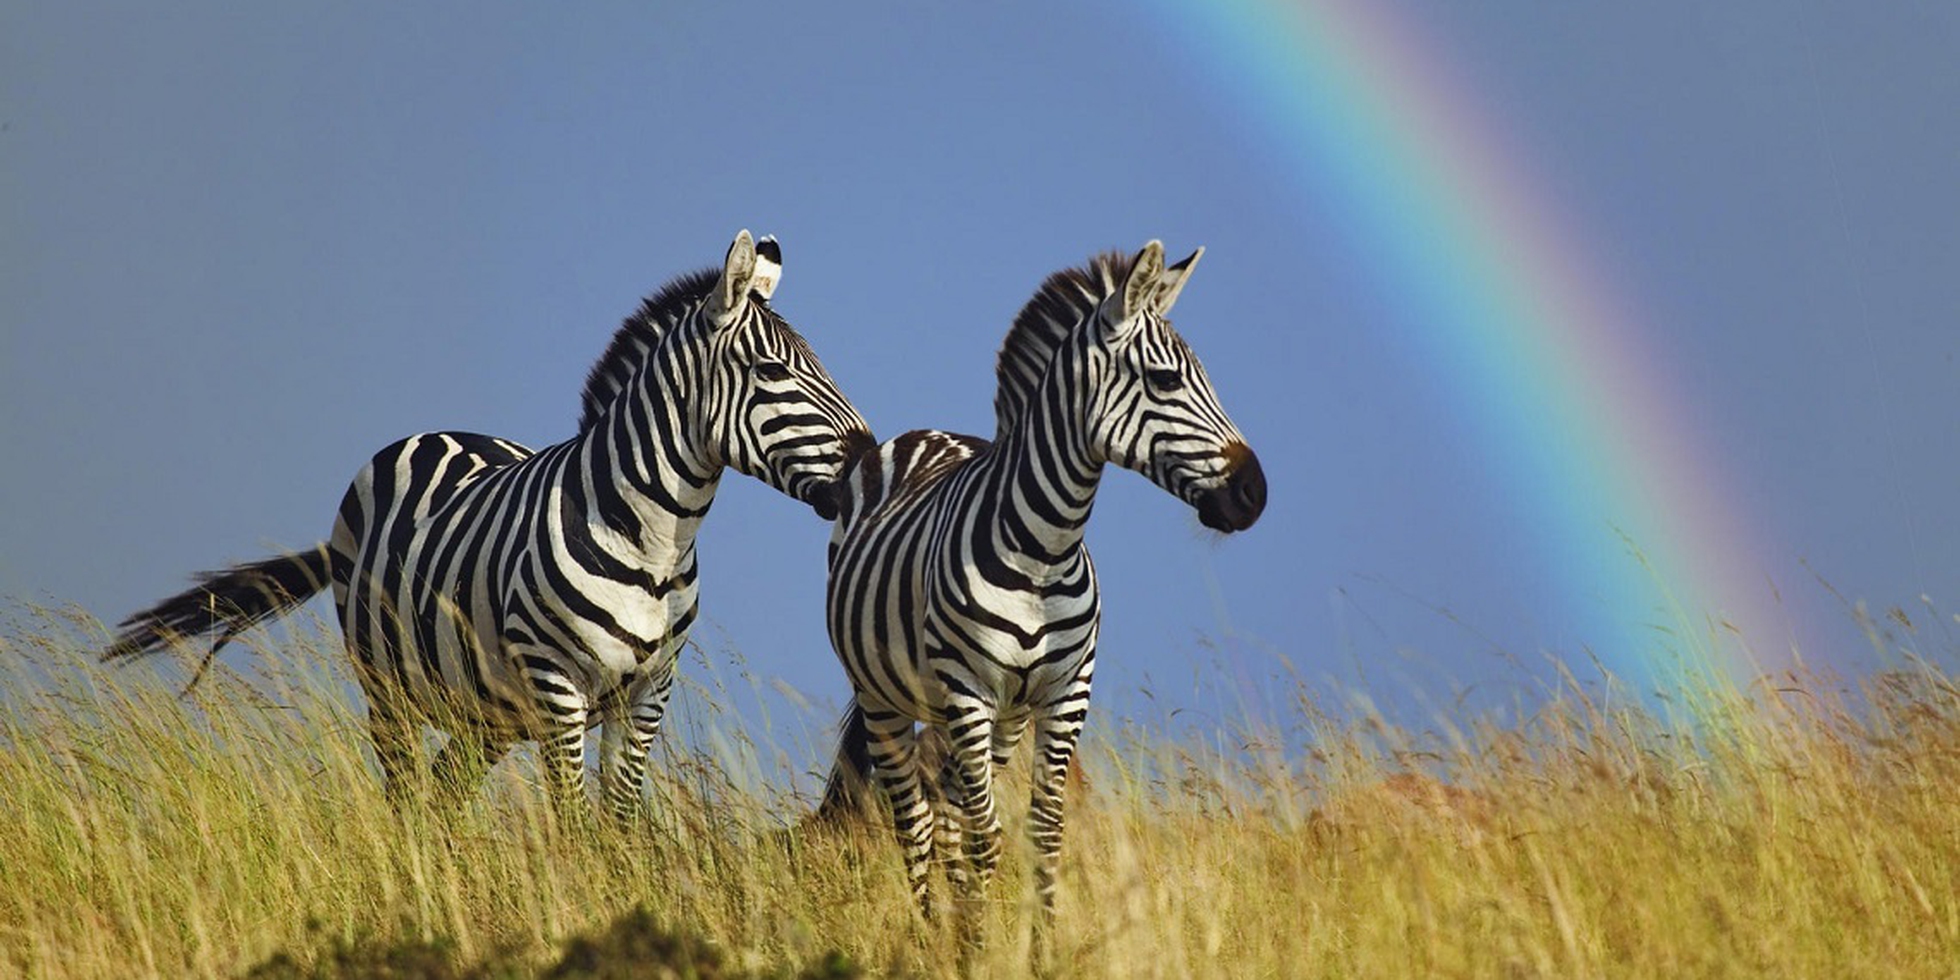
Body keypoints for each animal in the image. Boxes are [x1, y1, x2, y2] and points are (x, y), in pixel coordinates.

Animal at [104, 230, 874, 821]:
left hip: (488, 710)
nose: (869, 457)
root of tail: (439, 431)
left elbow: (620, 825)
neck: (656, 539)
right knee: (406, 799)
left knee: (445, 796)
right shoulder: (560, 687)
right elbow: (573, 825)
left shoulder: (648, 693)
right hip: (387, 687)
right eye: (772, 370)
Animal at [817, 241, 1266, 957]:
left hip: (995, 719)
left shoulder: (1063, 695)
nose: (1256, 493)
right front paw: (978, 951)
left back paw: (958, 930)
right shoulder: (969, 689)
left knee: (949, 817)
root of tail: (925, 433)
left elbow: (1042, 833)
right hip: (887, 698)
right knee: (918, 823)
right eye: (1166, 381)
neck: (1044, 549)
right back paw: (934, 940)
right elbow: (984, 836)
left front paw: (1040, 950)